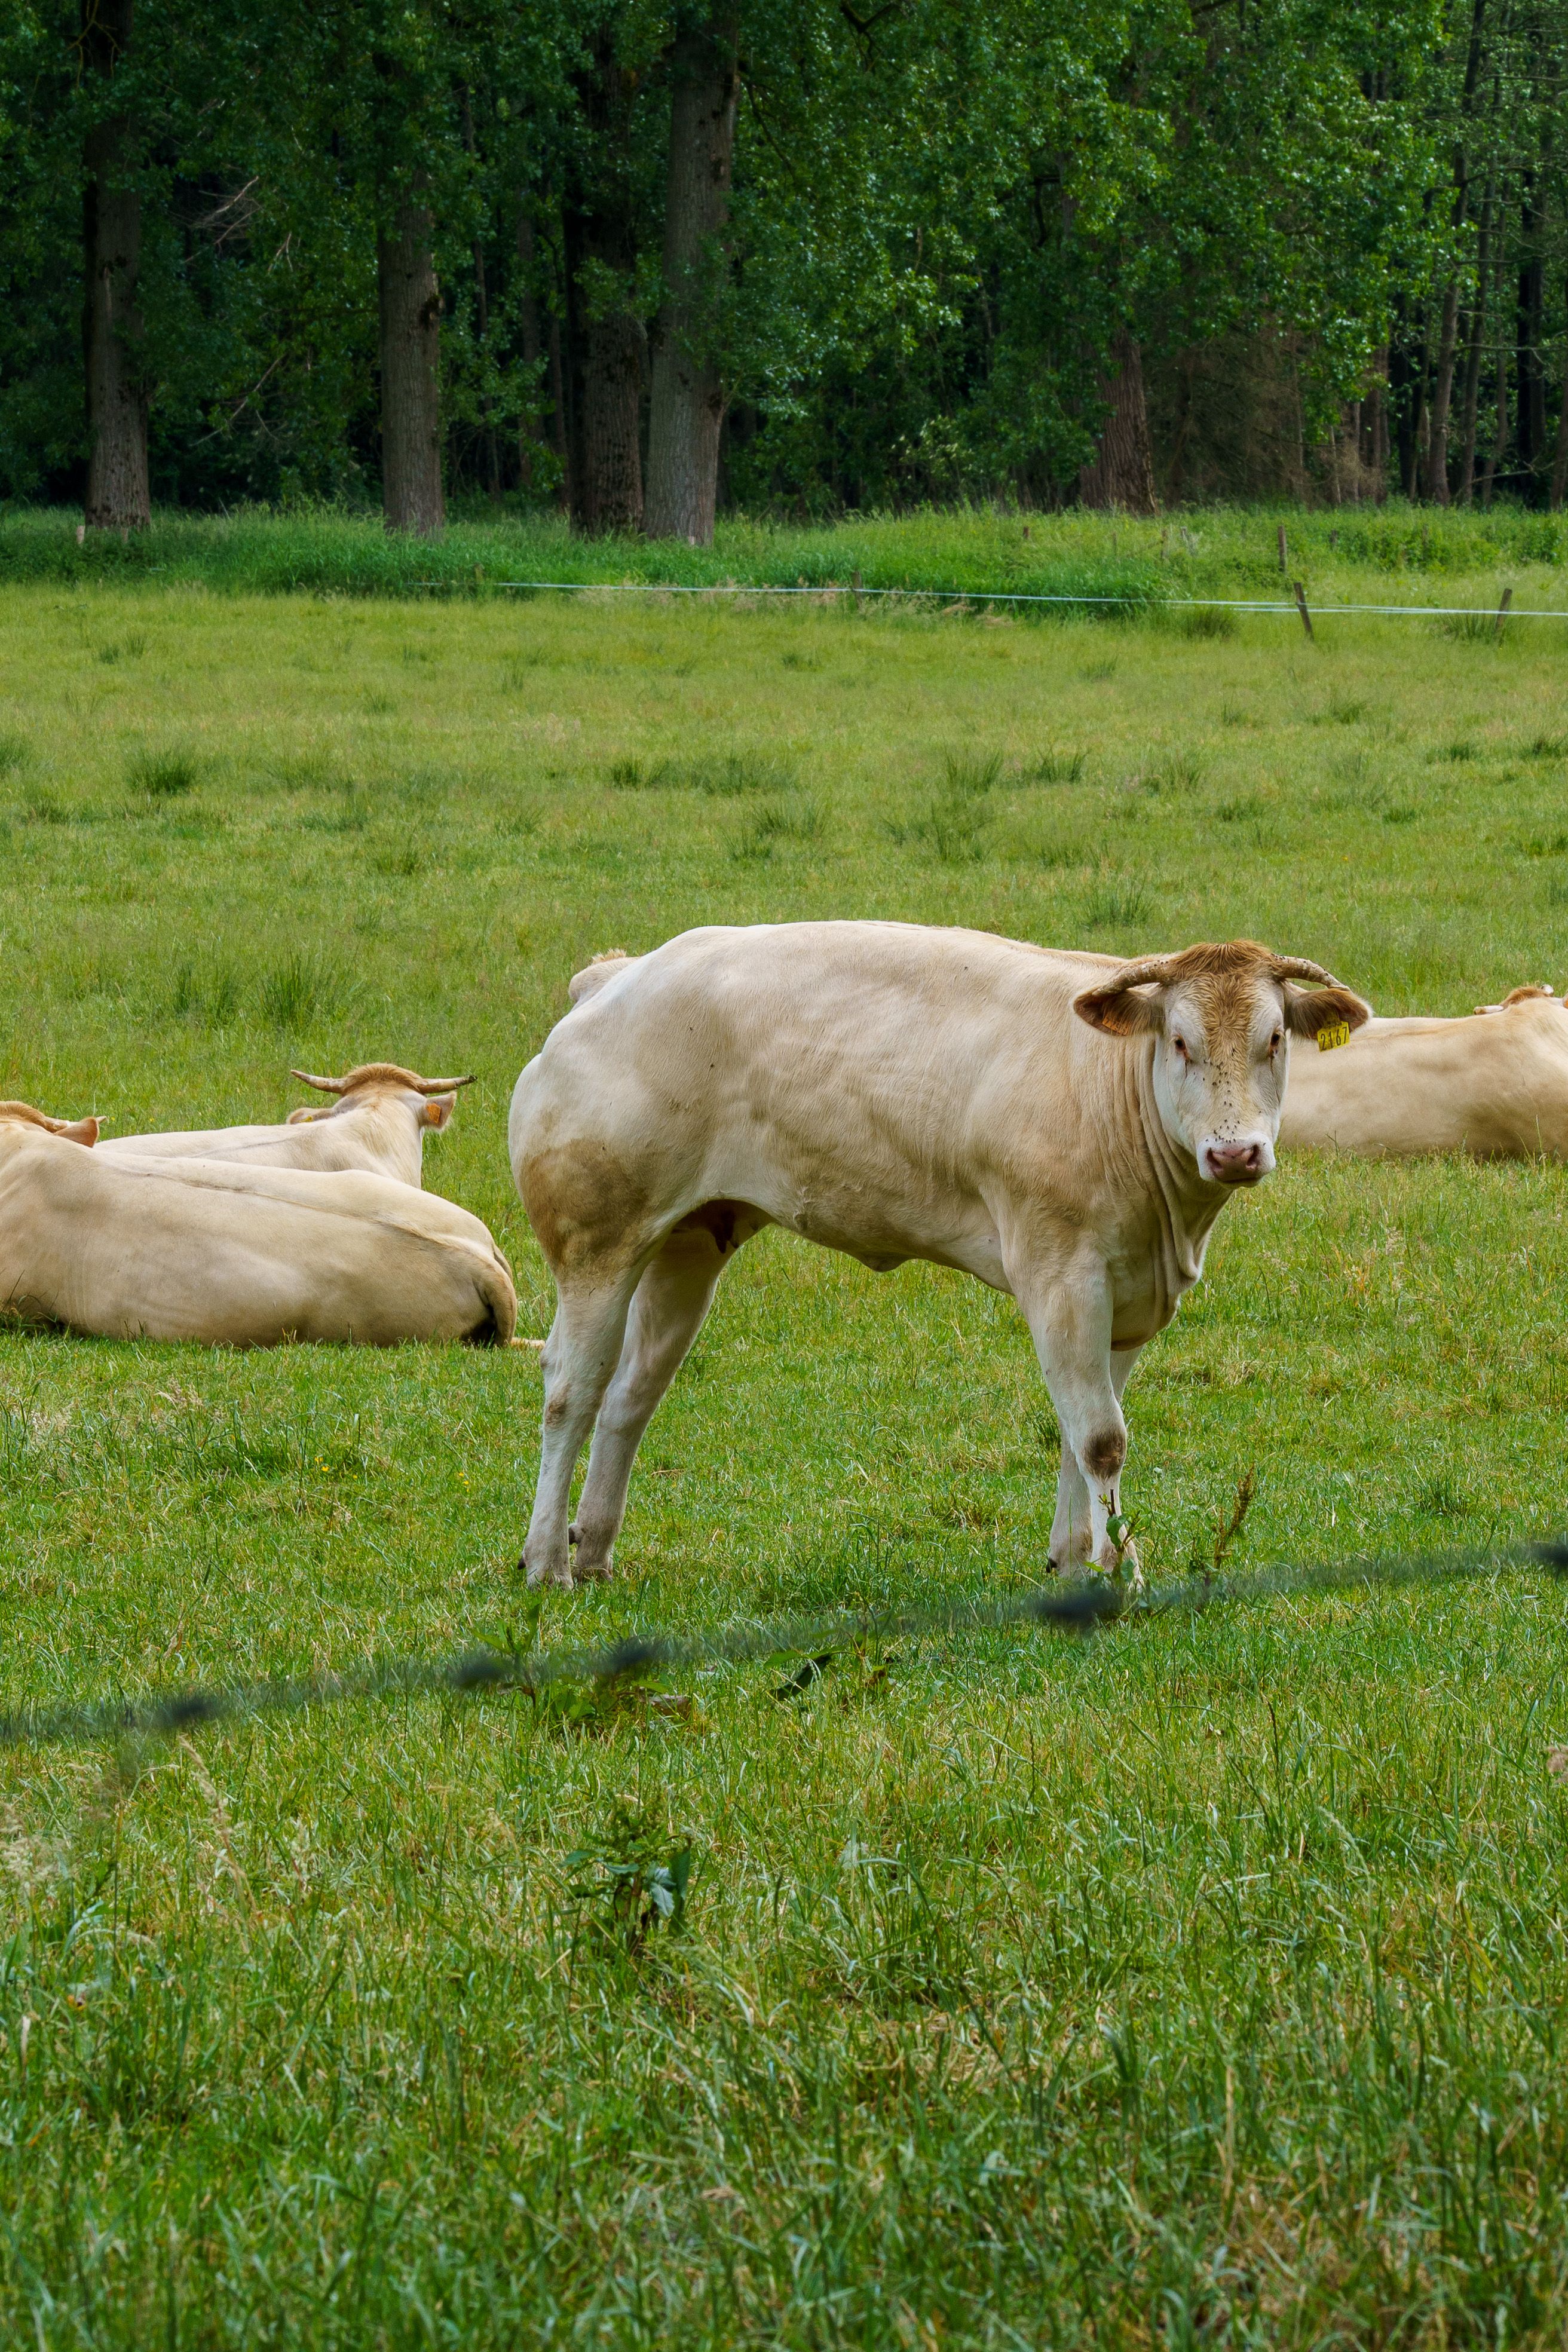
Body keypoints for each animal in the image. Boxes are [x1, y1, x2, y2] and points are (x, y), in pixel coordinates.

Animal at [509, 923, 1368, 1590]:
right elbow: (1101, 1436)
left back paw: (595, 1553)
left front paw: (1075, 1564)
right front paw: (1121, 1571)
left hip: (687, 1244)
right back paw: (547, 1561)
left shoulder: (1124, 1296)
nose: (1235, 1153)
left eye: (1274, 1039)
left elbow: (1079, 1428)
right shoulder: (1059, 1275)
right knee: (572, 1390)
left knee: (630, 1396)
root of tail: (613, 978)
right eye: (1181, 1043)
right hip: (598, 1245)